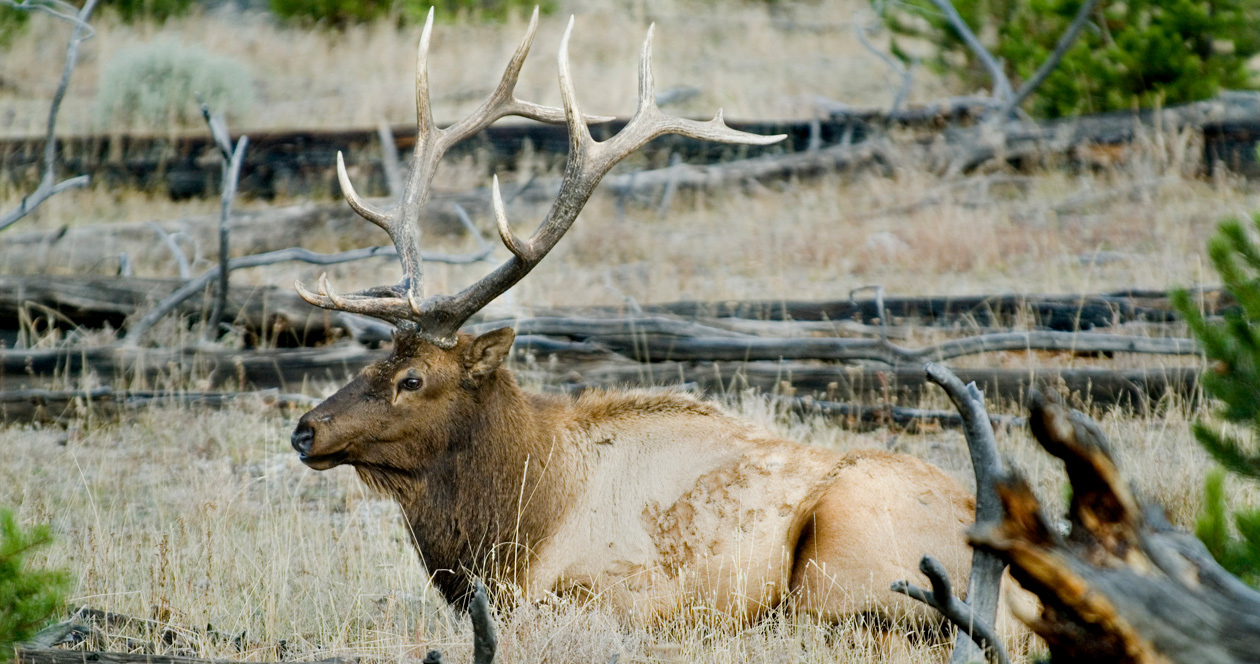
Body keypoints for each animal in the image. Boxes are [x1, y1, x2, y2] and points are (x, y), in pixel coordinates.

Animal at [289, 9, 979, 629]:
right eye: (377, 362)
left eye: (413, 379)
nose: (304, 430)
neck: (520, 520)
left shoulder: (632, 593)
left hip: (843, 550)